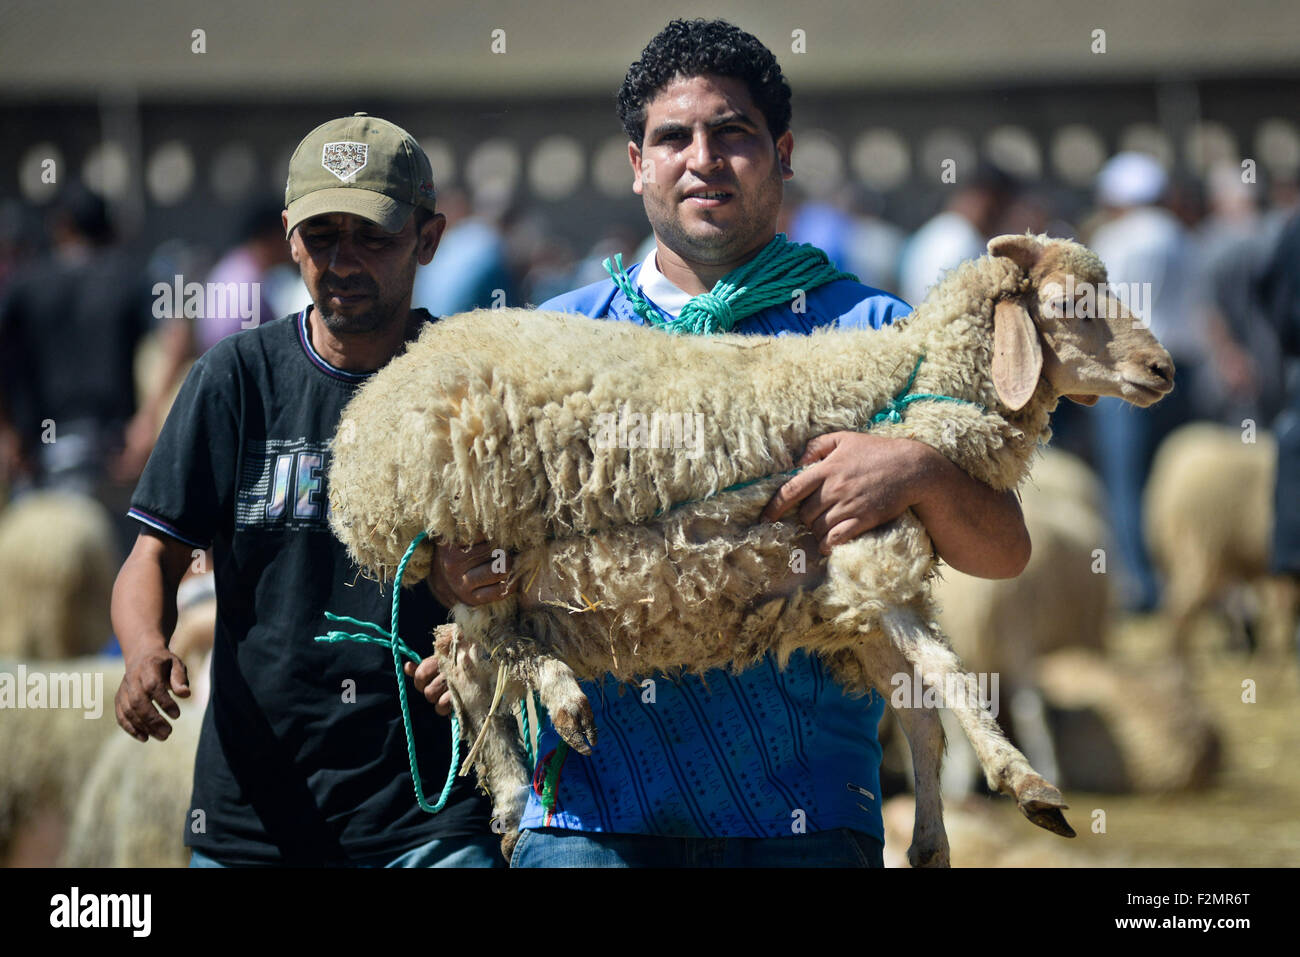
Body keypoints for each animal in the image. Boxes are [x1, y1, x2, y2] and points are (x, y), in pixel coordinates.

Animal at [327, 233, 1175, 867]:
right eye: (1067, 308)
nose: (1163, 369)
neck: (904, 389)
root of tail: (373, 406)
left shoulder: (854, 591)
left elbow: (919, 711)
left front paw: (932, 841)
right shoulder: (867, 553)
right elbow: (946, 676)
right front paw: (1024, 781)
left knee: (463, 659)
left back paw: (510, 789)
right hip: (479, 547)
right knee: (484, 653)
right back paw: (560, 710)